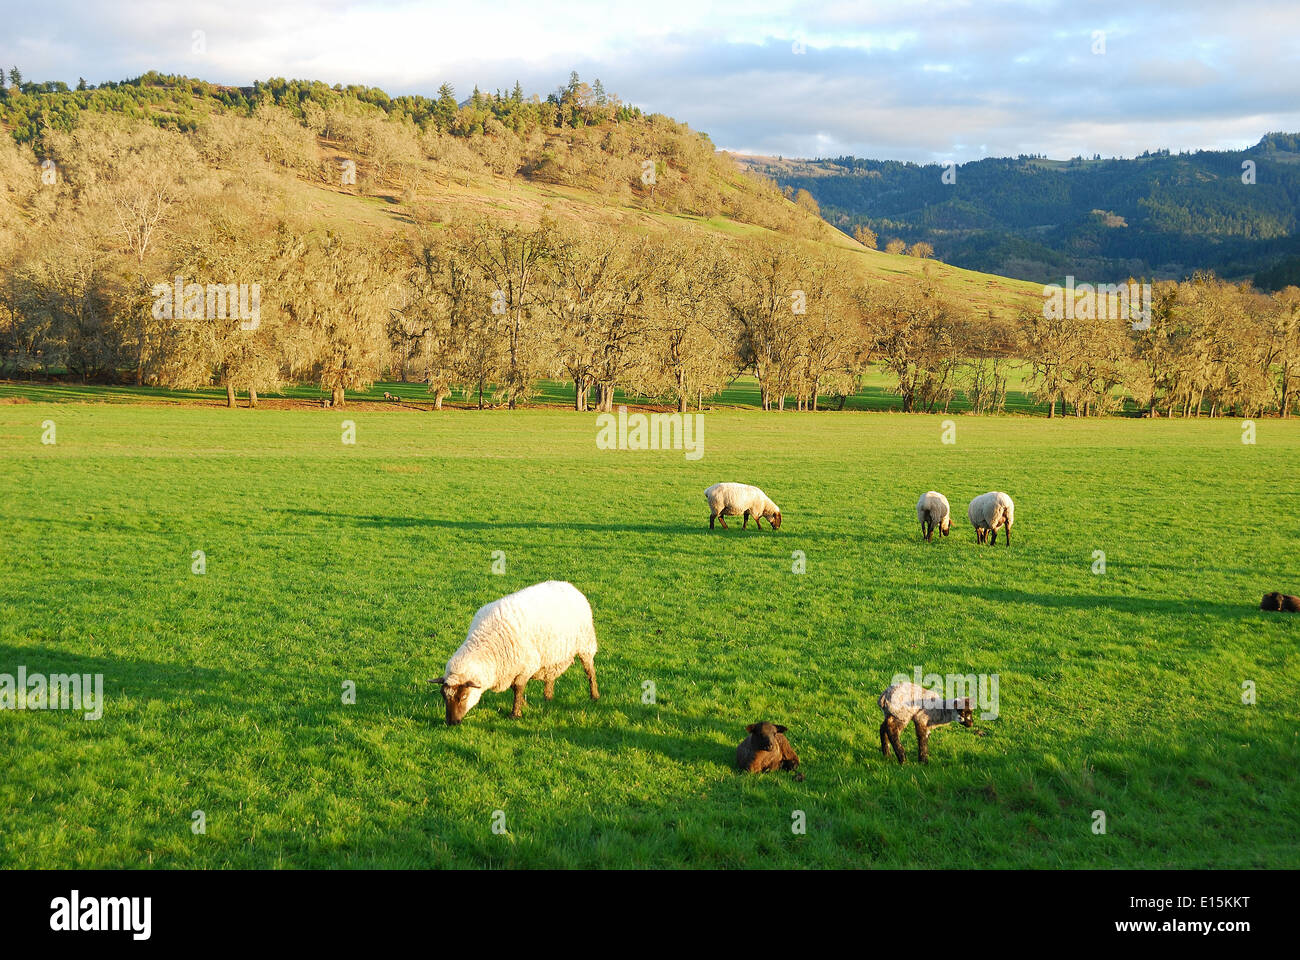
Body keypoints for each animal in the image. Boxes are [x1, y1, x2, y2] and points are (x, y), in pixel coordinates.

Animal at [428, 580, 599, 725]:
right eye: (443, 696)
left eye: (463, 696)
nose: (451, 722)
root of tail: (569, 585)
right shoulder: (510, 668)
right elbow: (515, 688)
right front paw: (524, 704)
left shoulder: (526, 666)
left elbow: (518, 688)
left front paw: (515, 713)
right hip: (552, 654)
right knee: (550, 676)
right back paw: (548, 697)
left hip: (586, 644)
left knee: (590, 671)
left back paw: (594, 696)